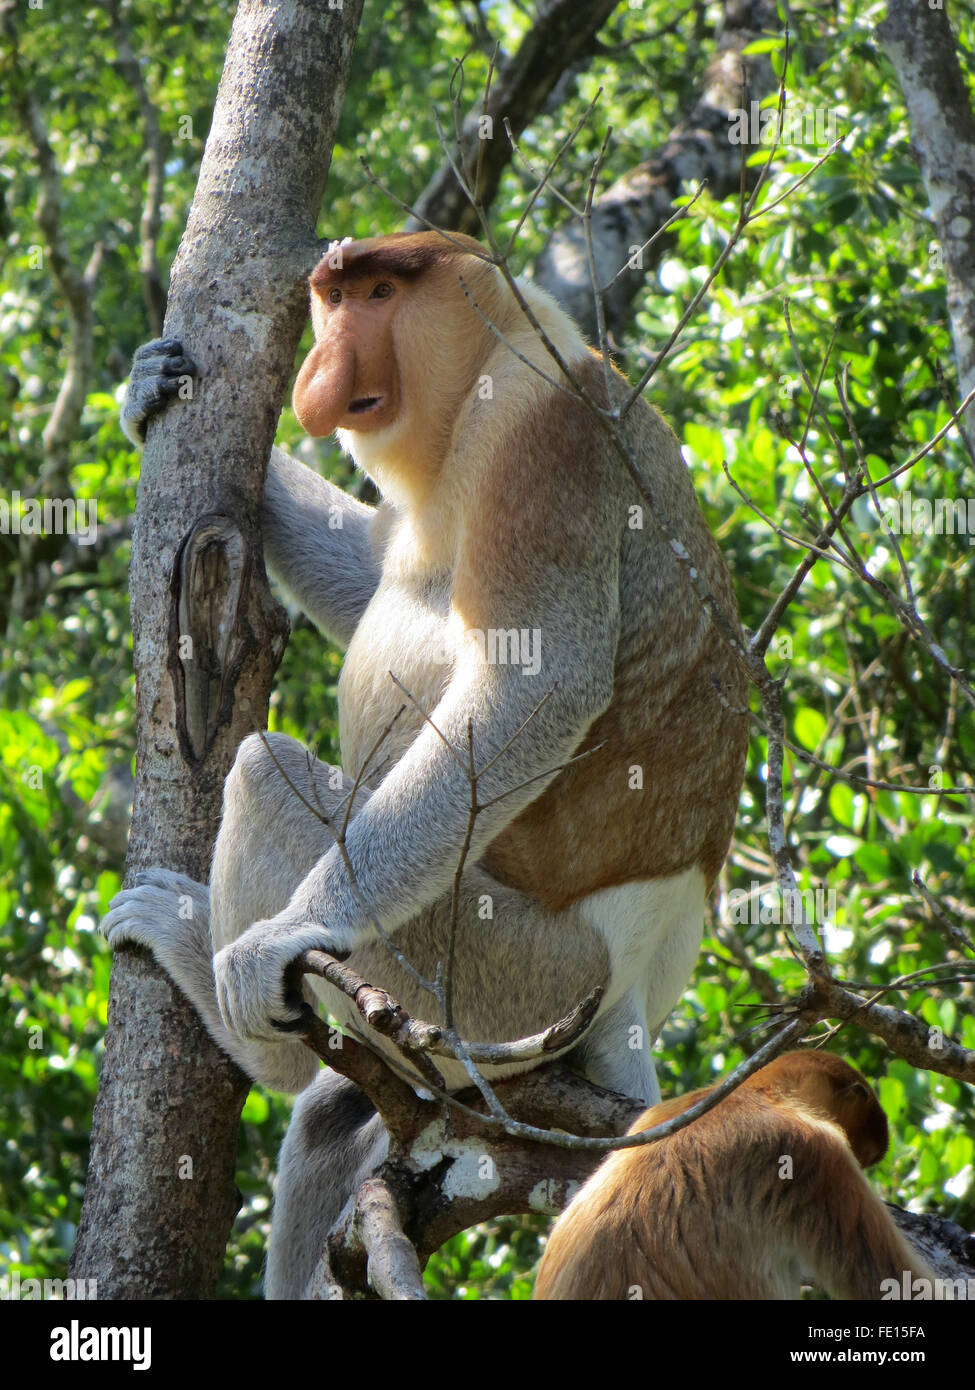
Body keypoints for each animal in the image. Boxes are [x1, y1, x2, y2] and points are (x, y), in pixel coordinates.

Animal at [103, 230, 748, 1298]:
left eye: (376, 293)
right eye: (330, 299)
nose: (320, 372)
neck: (486, 366)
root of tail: (632, 997)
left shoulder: (546, 438)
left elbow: (535, 685)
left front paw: (280, 938)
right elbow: (370, 569)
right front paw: (150, 383)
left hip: (505, 977)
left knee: (264, 775)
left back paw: (214, 971)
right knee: (327, 1122)